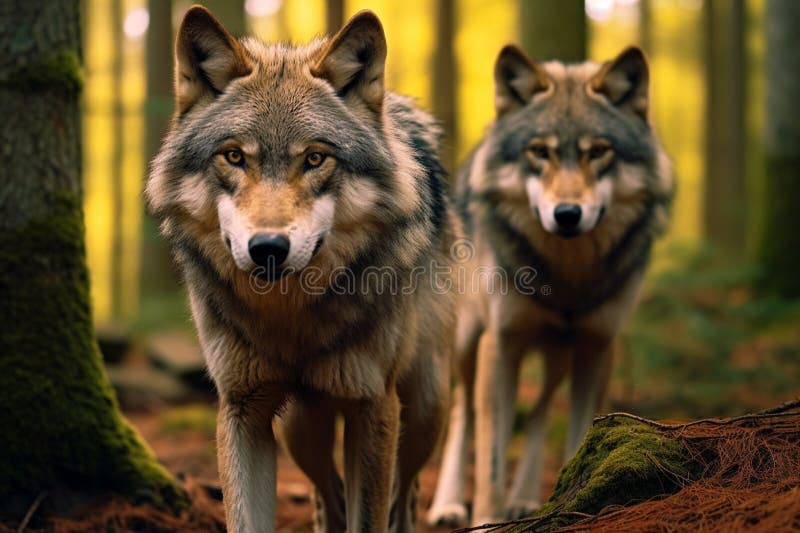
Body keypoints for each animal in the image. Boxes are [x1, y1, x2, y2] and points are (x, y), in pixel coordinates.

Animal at [146, 6, 457, 532]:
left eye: (315, 158)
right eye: (234, 156)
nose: (268, 248)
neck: (289, 318)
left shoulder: (373, 404)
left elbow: (370, 517)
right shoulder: (242, 408)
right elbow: (246, 517)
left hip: (424, 407)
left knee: (405, 491)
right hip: (301, 428)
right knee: (326, 491)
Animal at [426, 45, 674, 526]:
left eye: (598, 152)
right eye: (540, 151)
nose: (567, 214)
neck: (567, 276)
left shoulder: (596, 347)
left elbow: (577, 436)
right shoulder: (501, 344)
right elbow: (491, 454)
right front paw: (488, 520)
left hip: (560, 353)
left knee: (540, 411)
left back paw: (525, 498)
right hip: (465, 342)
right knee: (464, 412)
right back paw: (447, 504)